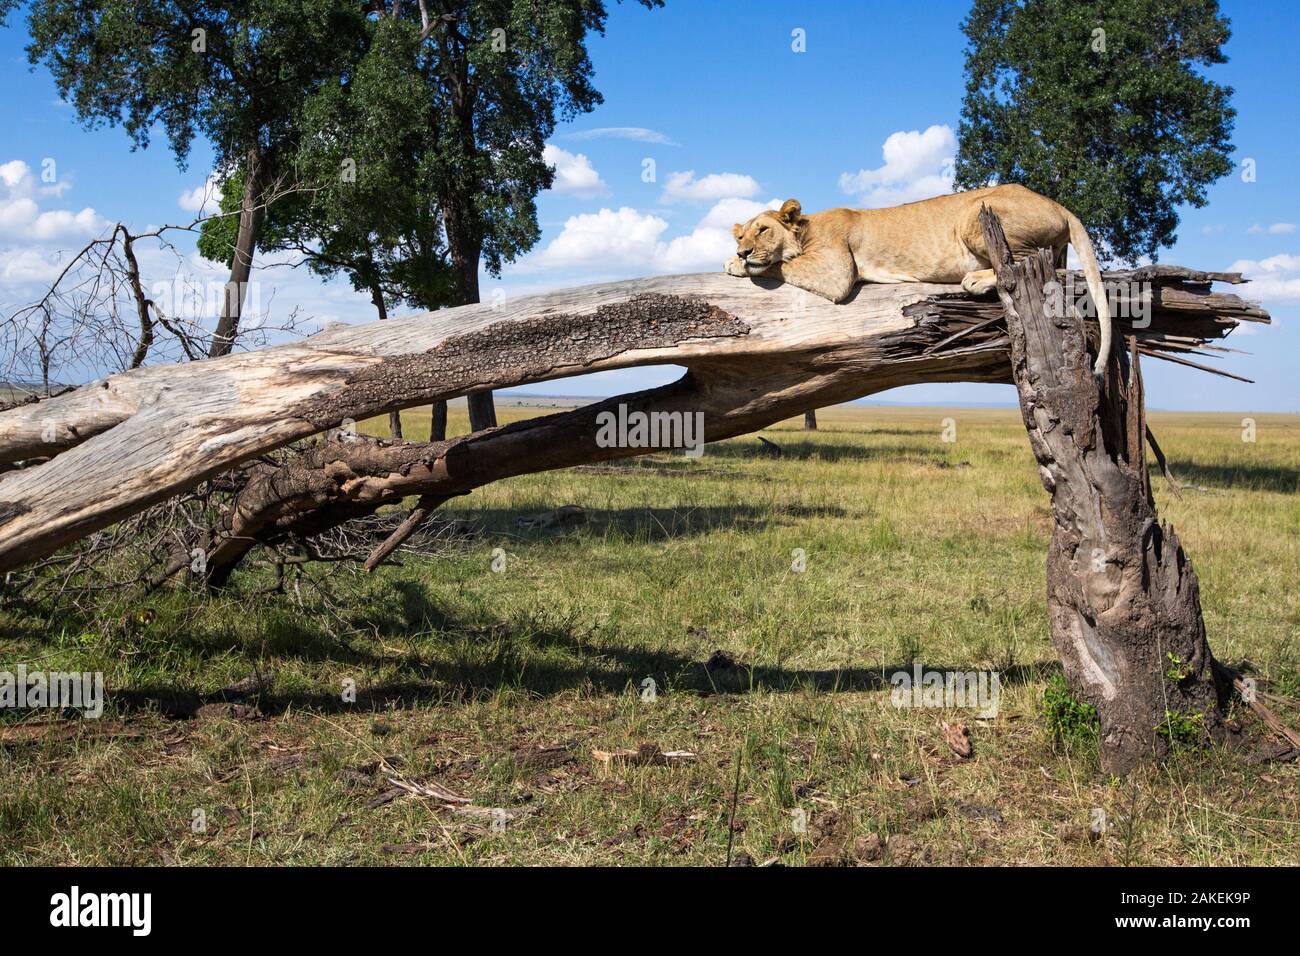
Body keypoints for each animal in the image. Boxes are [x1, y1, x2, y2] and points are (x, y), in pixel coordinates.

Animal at [725, 184, 1113, 376]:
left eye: (763, 230)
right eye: (740, 234)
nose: (743, 251)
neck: (807, 229)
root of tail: (1057, 203)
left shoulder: (837, 271)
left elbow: (781, 265)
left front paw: (738, 266)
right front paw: (735, 260)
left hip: (973, 215)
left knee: (1038, 264)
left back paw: (977, 279)